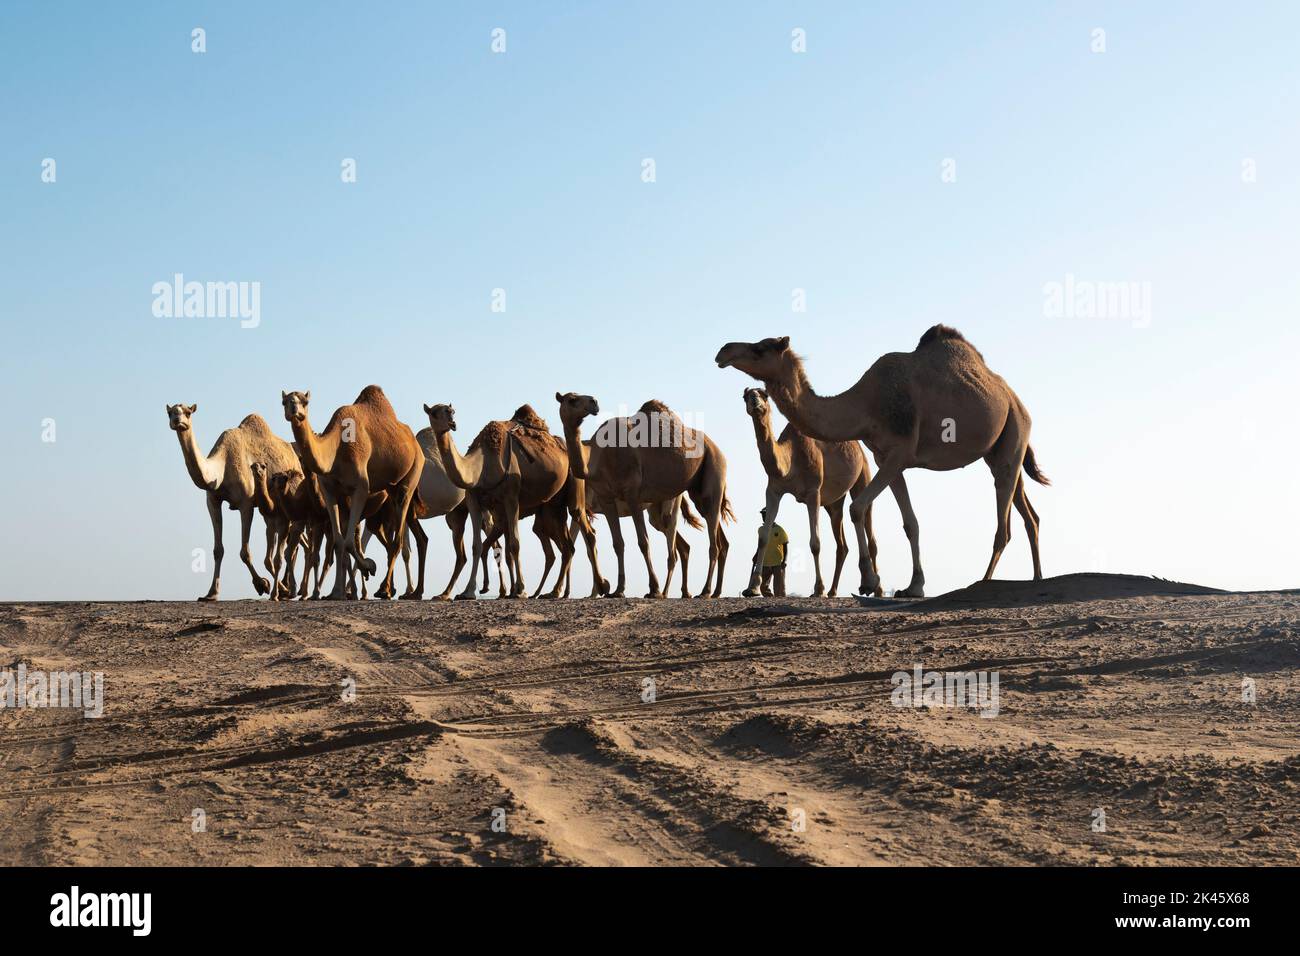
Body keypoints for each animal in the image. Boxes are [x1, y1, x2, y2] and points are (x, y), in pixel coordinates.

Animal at [167, 404, 301, 600]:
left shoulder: (246, 504)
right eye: (170, 412)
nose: (177, 421)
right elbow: (218, 550)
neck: (221, 468)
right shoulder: (212, 500)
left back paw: (287, 589)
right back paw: (286, 589)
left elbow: (244, 552)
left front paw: (261, 584)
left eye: (188, 412)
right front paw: (211, 593)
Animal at [282, 386, 424, 600]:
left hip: (411, 475)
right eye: (284, 401)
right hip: (390, 489)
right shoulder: (330, 492)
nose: (294, 410)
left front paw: (368, 567)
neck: (336, 448)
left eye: (305, 402)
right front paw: (337, 593)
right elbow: (340, 542)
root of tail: (415, 443)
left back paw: (386, 589)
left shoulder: (361, 488)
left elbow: (349, 543)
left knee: (398, 539)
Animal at [555, 393, 734, 598]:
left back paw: (703, 591)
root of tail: (716, 447)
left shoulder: (632, 495)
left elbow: (643, 542)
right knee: (713, 538)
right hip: (692, 492)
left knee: (711, 541)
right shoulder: (606, 500)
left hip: (713, 469)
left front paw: (653, 589)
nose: (594, 402)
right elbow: (617, 544)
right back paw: (712, 591)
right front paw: (617, 589)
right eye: (571, 400)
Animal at [740, 387, 881, 597]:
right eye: (746, 396)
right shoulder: (773, 490)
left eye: (765, 394)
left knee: (869, 530)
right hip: (833, 504)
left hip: (863, 474)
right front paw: (752, 587)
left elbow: (815, 544)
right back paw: (833, 591)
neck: (790, 461)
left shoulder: (813, 492)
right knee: (842, 544)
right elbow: (763, 537)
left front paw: (818, 588)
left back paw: (876, 588)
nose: (755, 401)